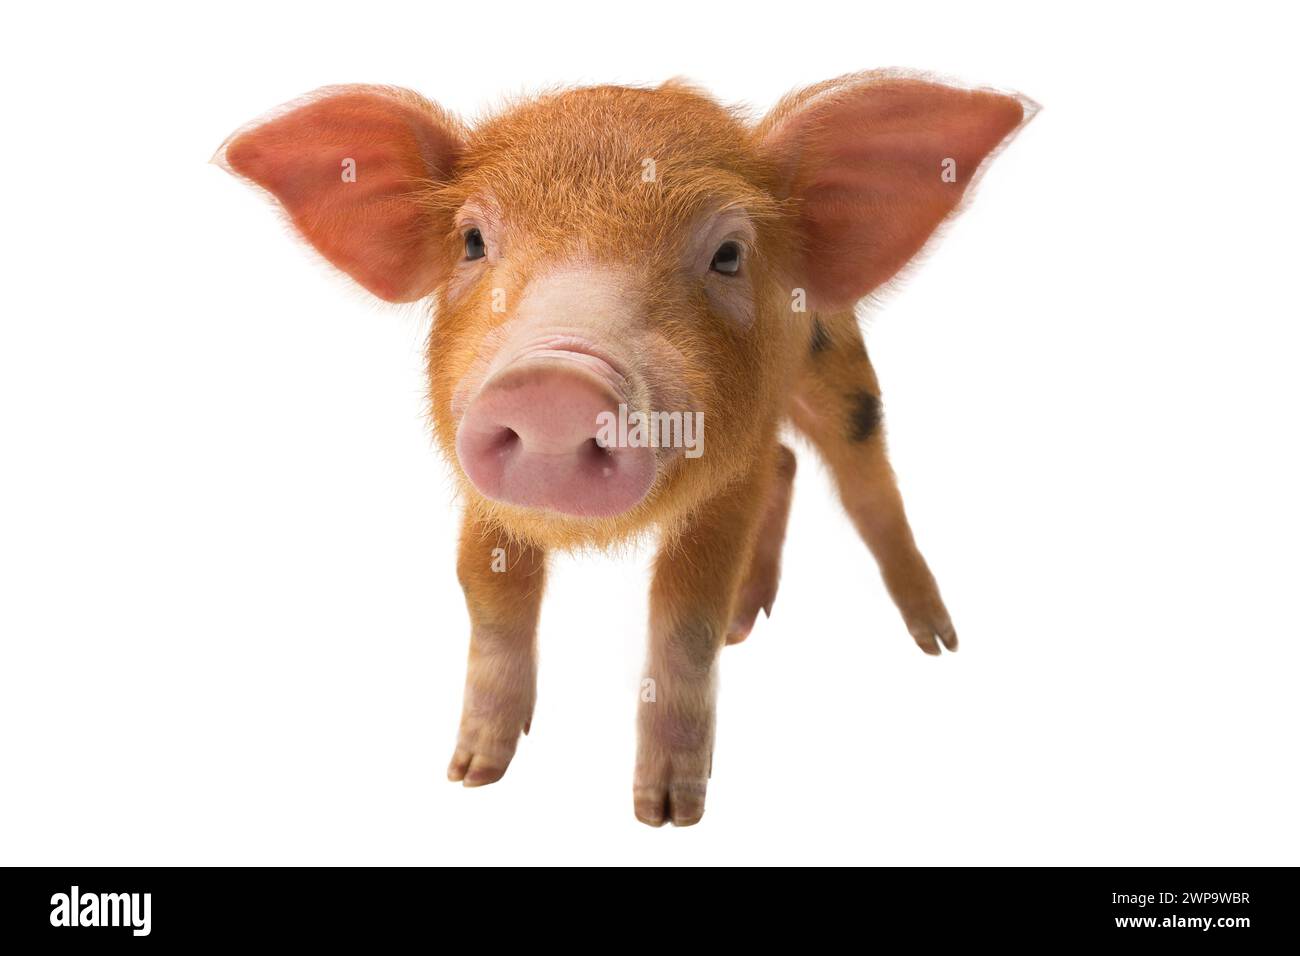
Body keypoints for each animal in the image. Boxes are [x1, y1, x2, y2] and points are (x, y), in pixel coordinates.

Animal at [217, 72, 1035, 826]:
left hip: (839, 371)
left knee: (862, 474)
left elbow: (685, 622)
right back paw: (748, 623)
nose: (553, 381)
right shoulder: (484, 493)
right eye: (473, 241)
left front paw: (666, 814)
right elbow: (490, 601)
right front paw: (471, 775)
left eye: (729, 253)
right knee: (784, 462)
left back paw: (936, 642)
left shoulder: (717, 495)